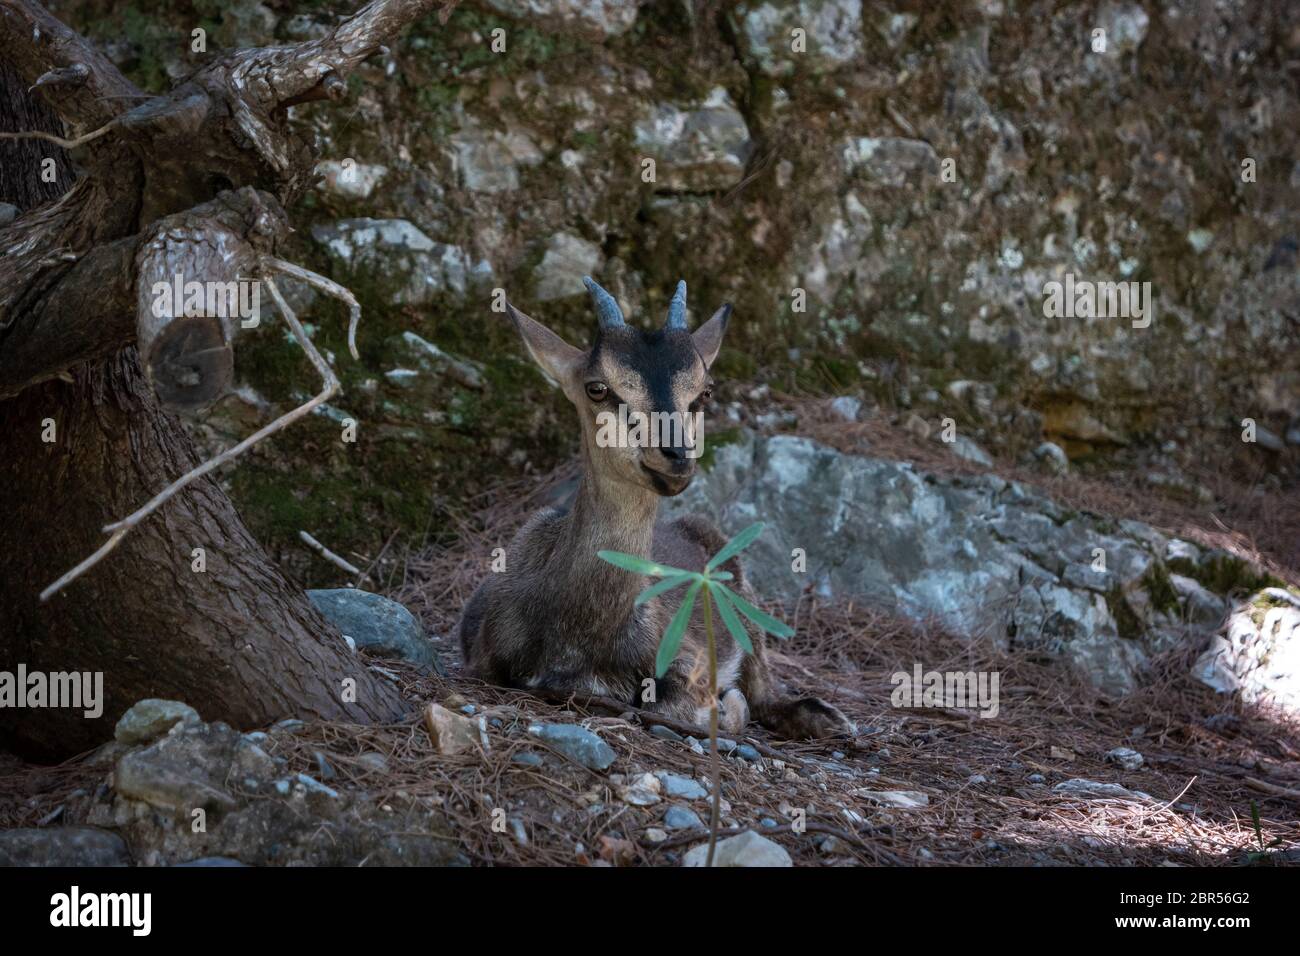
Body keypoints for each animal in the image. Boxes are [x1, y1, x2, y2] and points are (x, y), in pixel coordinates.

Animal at [456, 278, 853, 740]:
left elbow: (676, 704)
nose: (675, 455)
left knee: (765, 684)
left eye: (705, 391)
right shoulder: (485, 660)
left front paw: (728, 706)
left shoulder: (688, 654)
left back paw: (830, 719)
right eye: (597, 388)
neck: (579, 628)